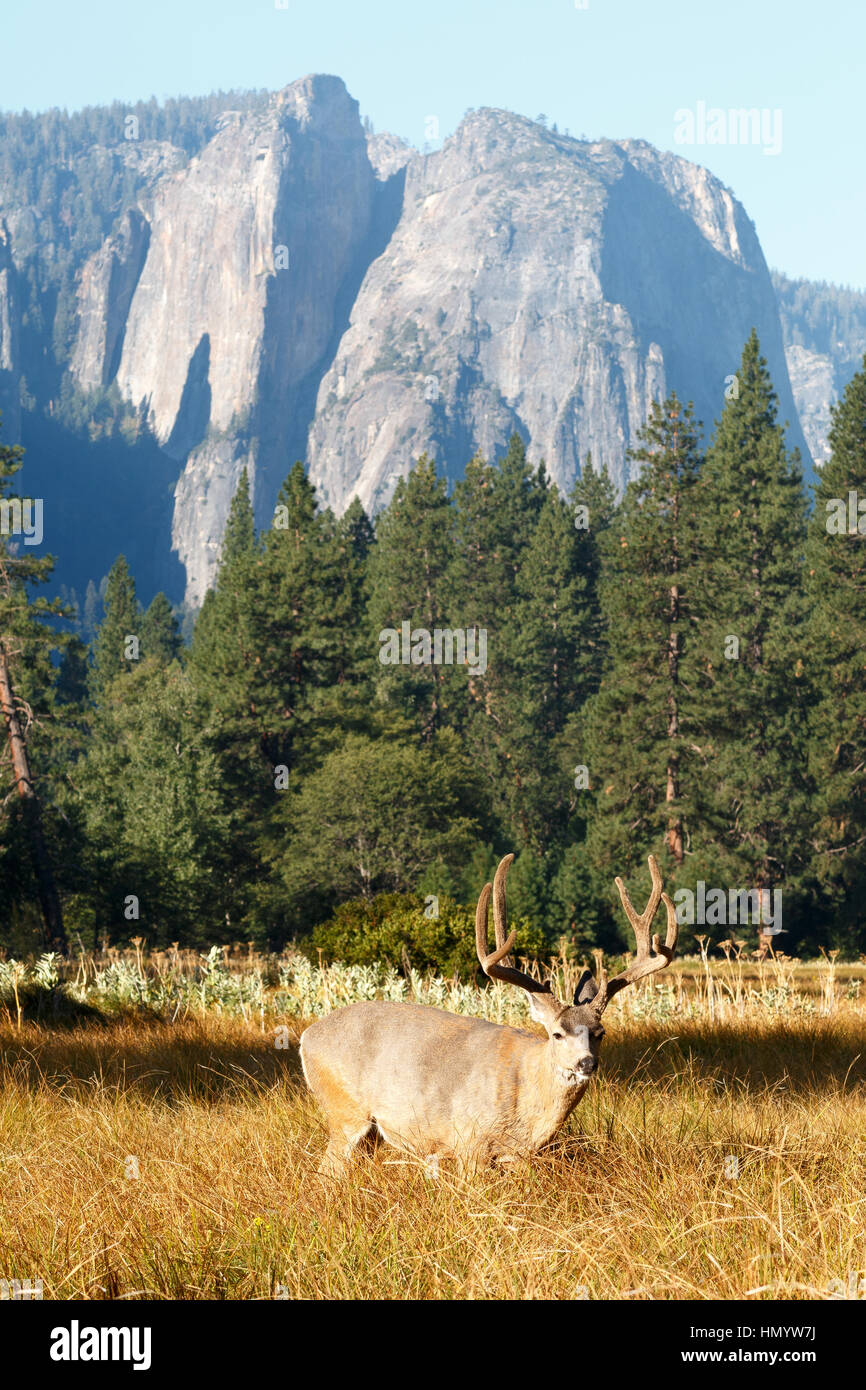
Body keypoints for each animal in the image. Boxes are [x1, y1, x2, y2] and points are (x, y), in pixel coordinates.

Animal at [300, 852, 677, 1175]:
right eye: (557, 1033)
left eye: (600, 1033)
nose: (586, 1063)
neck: (527, 1091)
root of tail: (306, 1037)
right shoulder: (469, 1141)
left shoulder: (520, 1157)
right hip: (344, 1111)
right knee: (326, 1170)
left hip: (370, 1133)